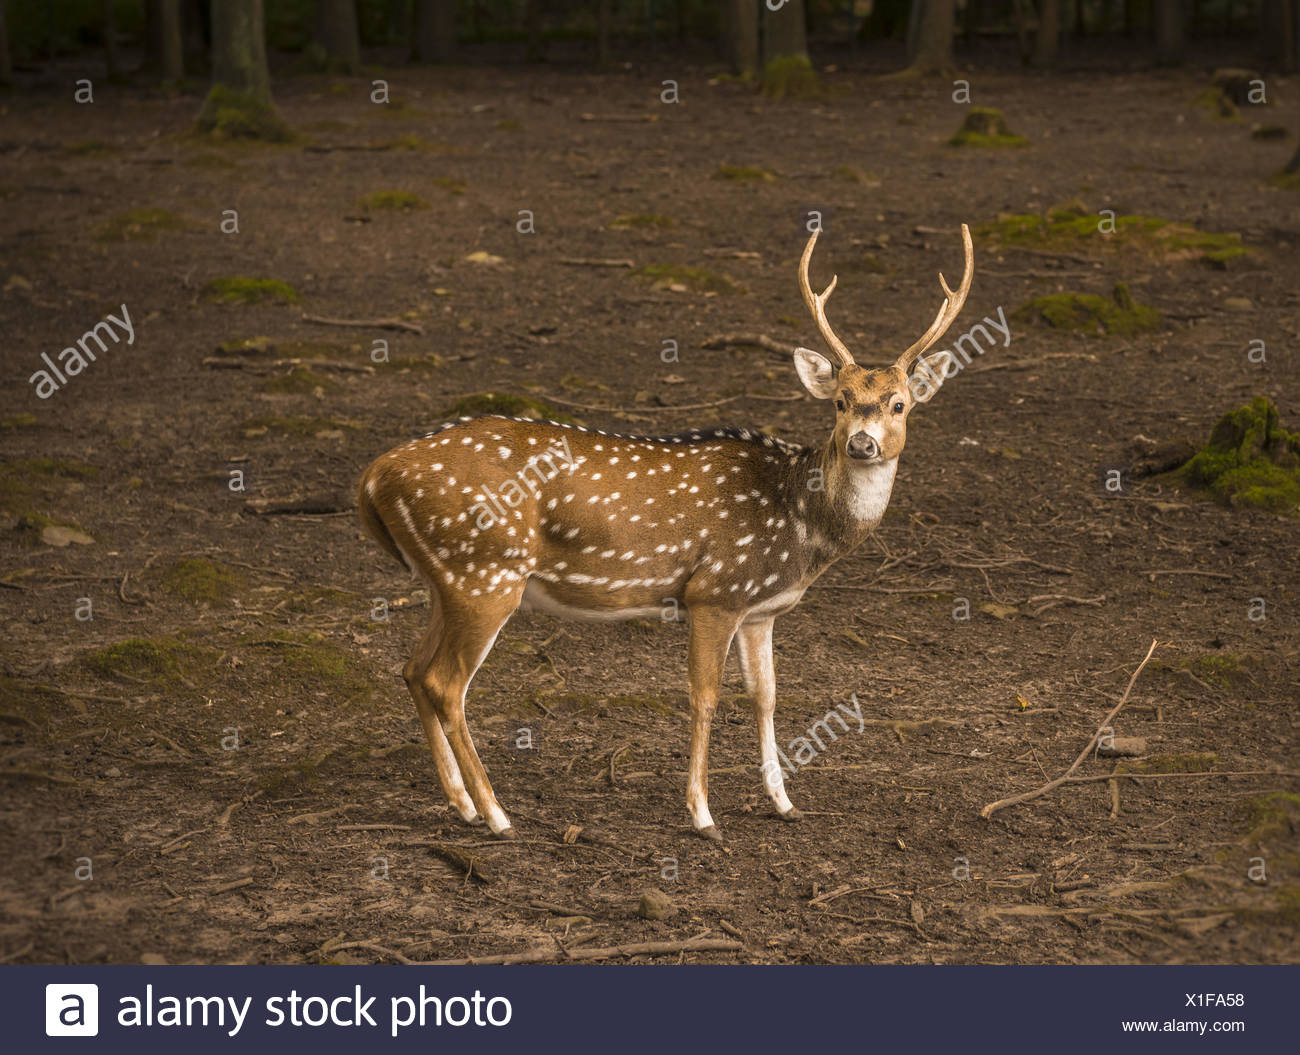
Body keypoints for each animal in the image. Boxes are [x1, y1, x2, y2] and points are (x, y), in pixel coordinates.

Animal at [358, 224, 973, 842]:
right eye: (841, 402)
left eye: (900, 404)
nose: (862, 443)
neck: (801, 525)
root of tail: (374, 473)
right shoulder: (714, 591)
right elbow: (705, 697)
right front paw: (703, 815)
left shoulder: (761, 609)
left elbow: (766, 697)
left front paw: (784, 802)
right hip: (485, 571)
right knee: (446, 683)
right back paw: (496, 814)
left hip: (450, 579)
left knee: (412, 671)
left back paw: (462, 803)